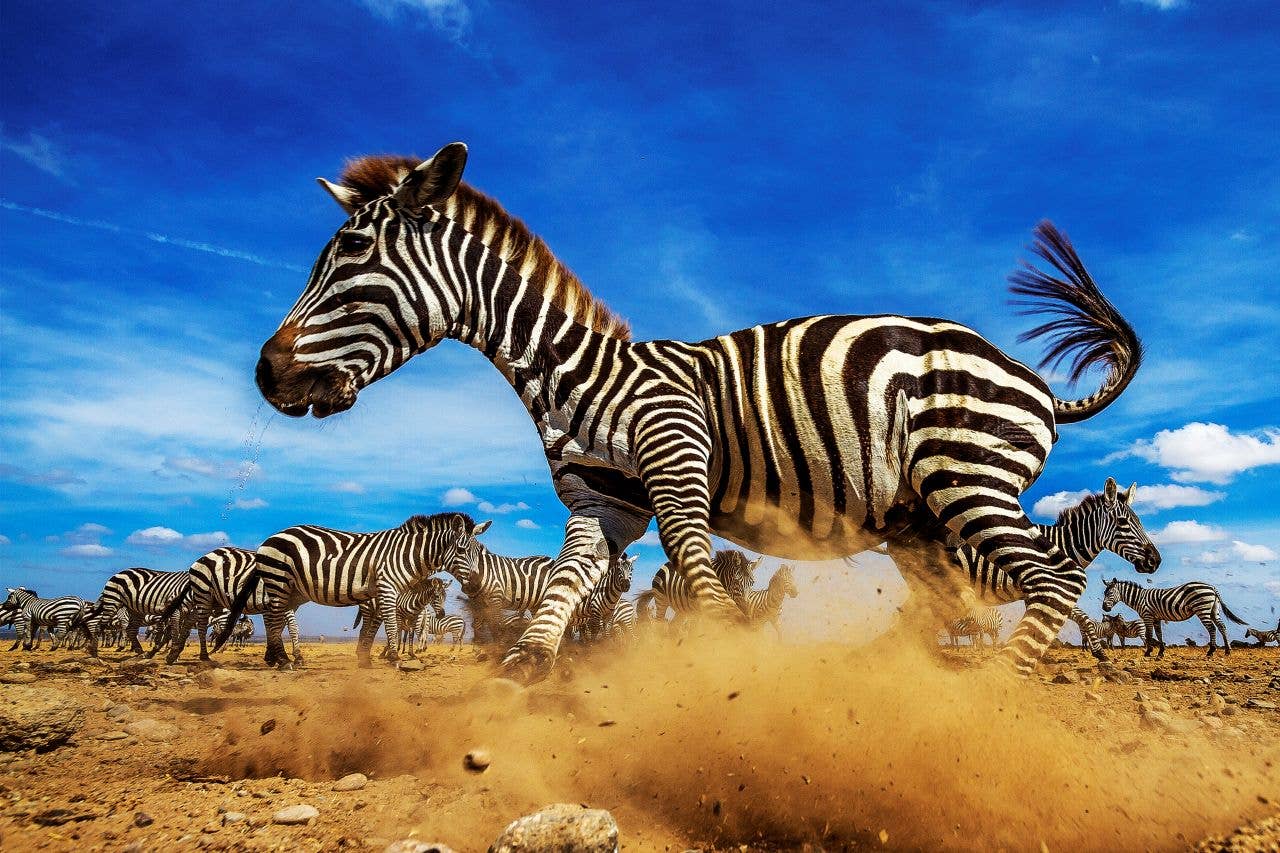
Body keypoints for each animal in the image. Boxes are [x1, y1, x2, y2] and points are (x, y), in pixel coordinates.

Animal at [158, 546, 303, 665]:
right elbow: (278, 627)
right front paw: (282, 657)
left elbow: (284, 627)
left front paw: (277, 656)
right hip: (204, 595)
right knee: (197, 624)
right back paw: (198, 655)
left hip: (207, 599)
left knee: (188, 620)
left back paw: (174, 653)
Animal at [215, 512, 484, 667]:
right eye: (461, 550)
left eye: (478, 551)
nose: (474, 584)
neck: (406, 555)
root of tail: (269, 540)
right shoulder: (387, 586)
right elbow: (391, 624)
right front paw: (394, 657)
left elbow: (376, 627)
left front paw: (368, 658)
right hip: (278, 580)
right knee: (273, 620)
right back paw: (282, 661)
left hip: (290, 590)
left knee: (274, 619)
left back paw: (274, 658)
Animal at [254, 143, 1143, 681]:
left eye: (351, 256)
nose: (267, 375)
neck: (580, 375)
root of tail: (1031, 378)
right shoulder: (602, 506)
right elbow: (563, 589)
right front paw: (524, 674)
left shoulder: (677, 465)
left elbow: (704, 587)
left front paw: (724, 684)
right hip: (920, 521)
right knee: (946, 602)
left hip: (969, 479)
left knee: (1052, 580)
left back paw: (985, 689)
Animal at [1102, 578, 1250, 658]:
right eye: (1104, 593)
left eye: (1109, 593)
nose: (1104, 608)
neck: (1139, 598)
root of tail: (1212, 587)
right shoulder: (1156, 618)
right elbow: (1159, 634)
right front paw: (1161, 652)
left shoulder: (1148, 616)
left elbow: (1149, 635)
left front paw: (1148, 652)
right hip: (1214, 610)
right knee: (1222, 627)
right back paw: (1227, 650)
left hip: (1202, 609)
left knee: (1212, 628)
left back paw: (1211, 651)